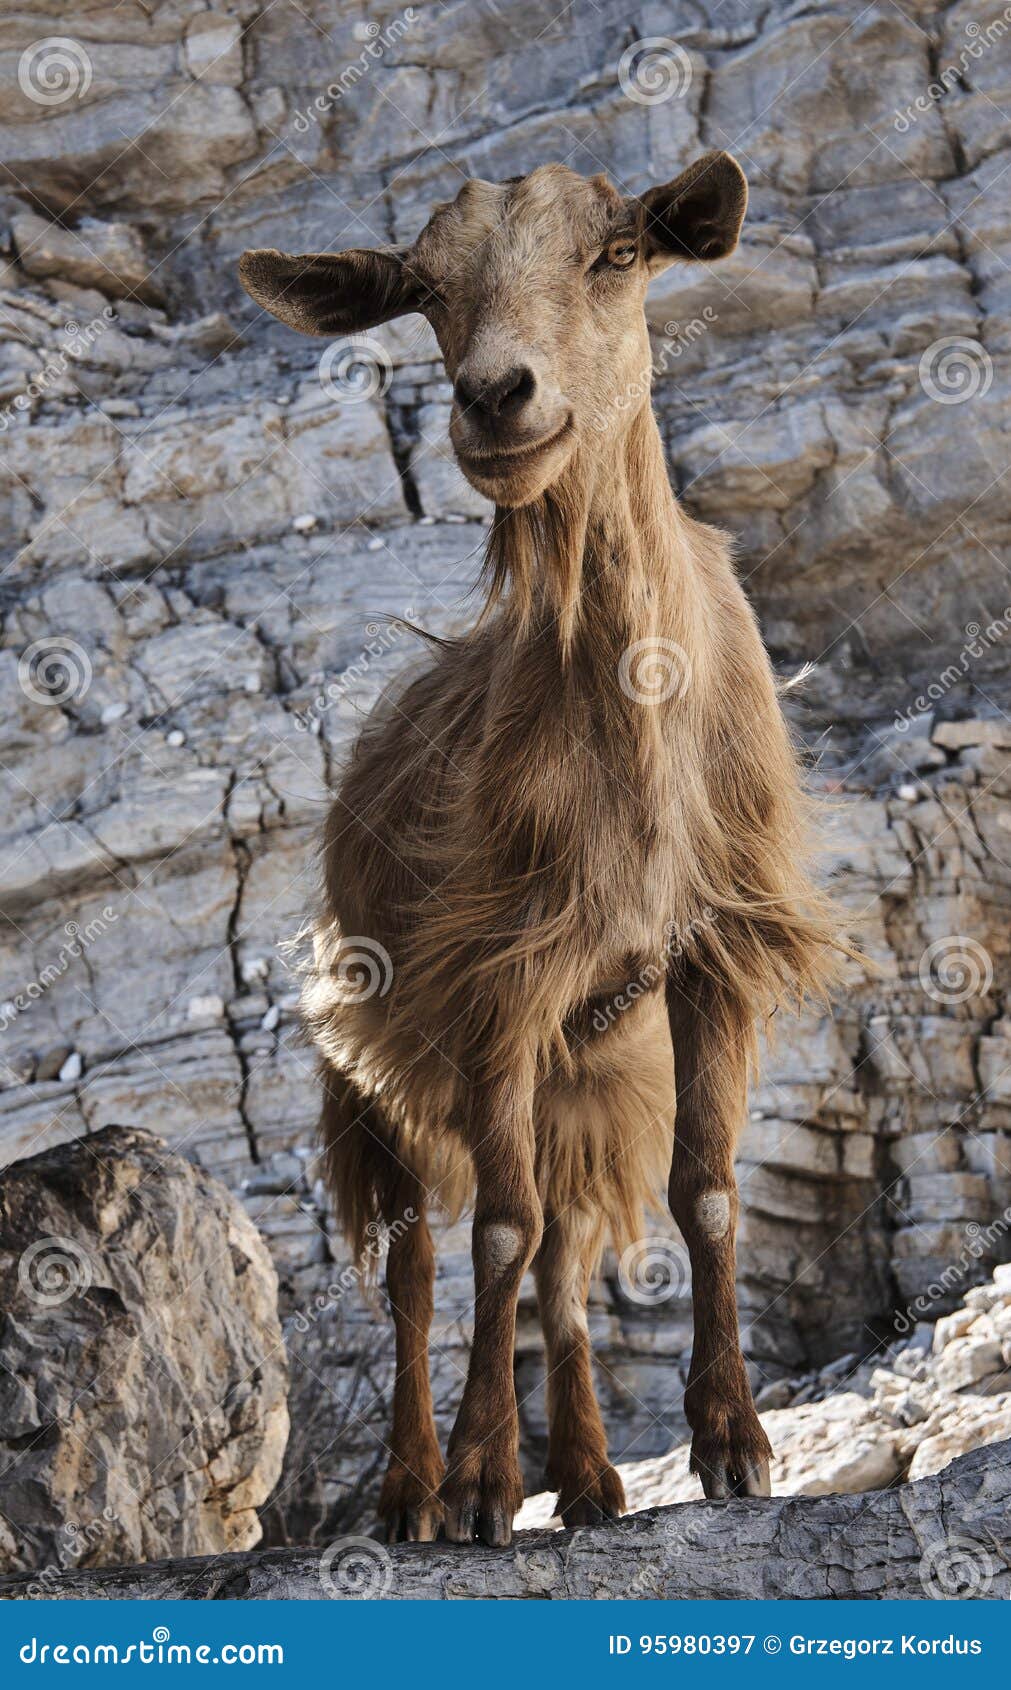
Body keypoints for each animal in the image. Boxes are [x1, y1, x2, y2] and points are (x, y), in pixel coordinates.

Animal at [239, 152, 845, 1549]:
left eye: (614, 255)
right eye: (423, 291)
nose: (495, 398)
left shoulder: (709, 953)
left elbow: (704, 1190)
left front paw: (734, 1443)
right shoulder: (494, 986)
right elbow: (496, 1238)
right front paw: (475, 1483)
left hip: (583, 1076)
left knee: (567, 1263)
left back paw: (588, 1477)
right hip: (377, 1071)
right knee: (417, 1266)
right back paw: (413, 1490)